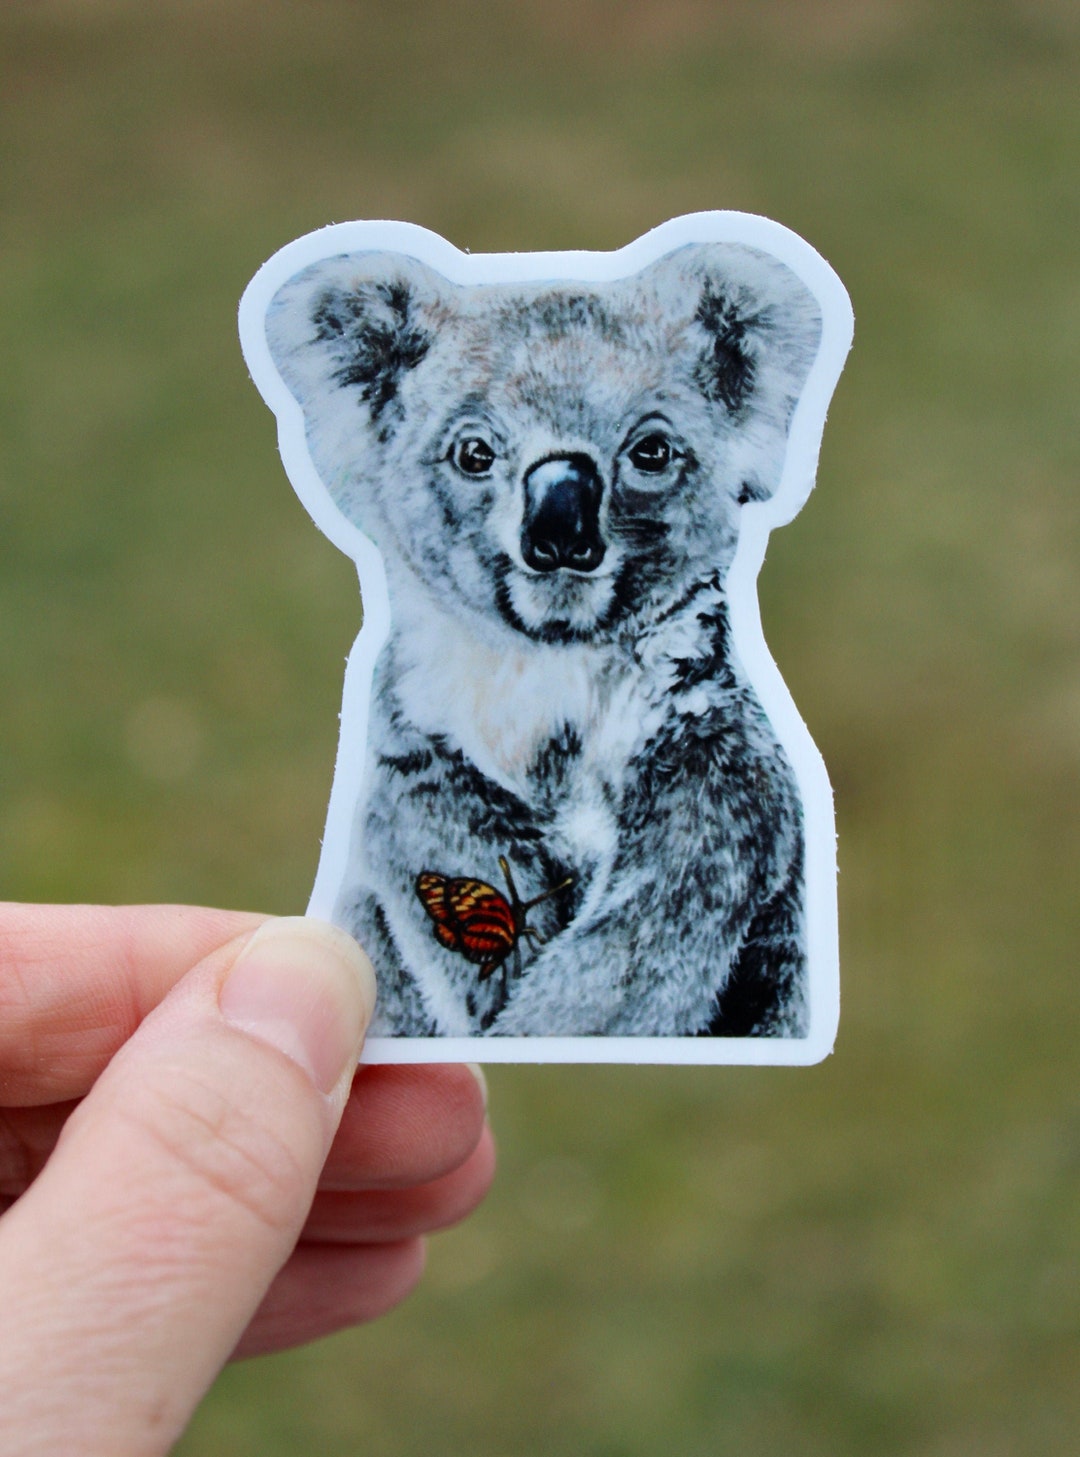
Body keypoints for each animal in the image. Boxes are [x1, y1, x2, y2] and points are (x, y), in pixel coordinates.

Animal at [249, 218, 848, 1042]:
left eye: (650, 451)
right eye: (474, 453)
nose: (560, 534)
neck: (544, 670)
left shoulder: (710, 763)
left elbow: (643, 937)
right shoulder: (415, 759)